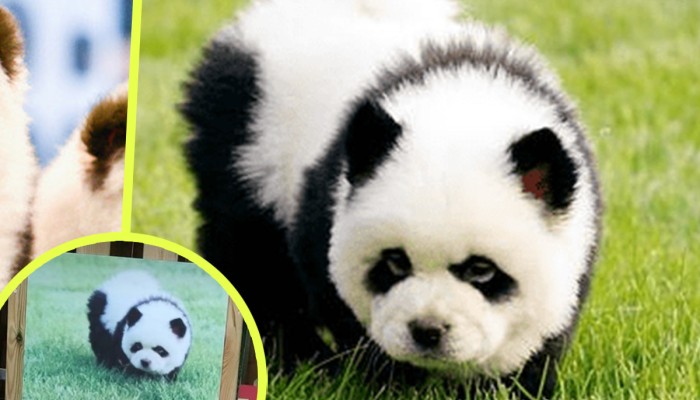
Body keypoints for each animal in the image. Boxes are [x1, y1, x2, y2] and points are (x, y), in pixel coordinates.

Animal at [182, 0, 602, 397]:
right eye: (396, 262)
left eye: (481, 270)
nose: (427, 330)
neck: (461, 108)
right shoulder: (324, 206)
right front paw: (391, 380)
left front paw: (508, 385)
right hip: (247, 144)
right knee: (252, 259)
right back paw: (294, 358)